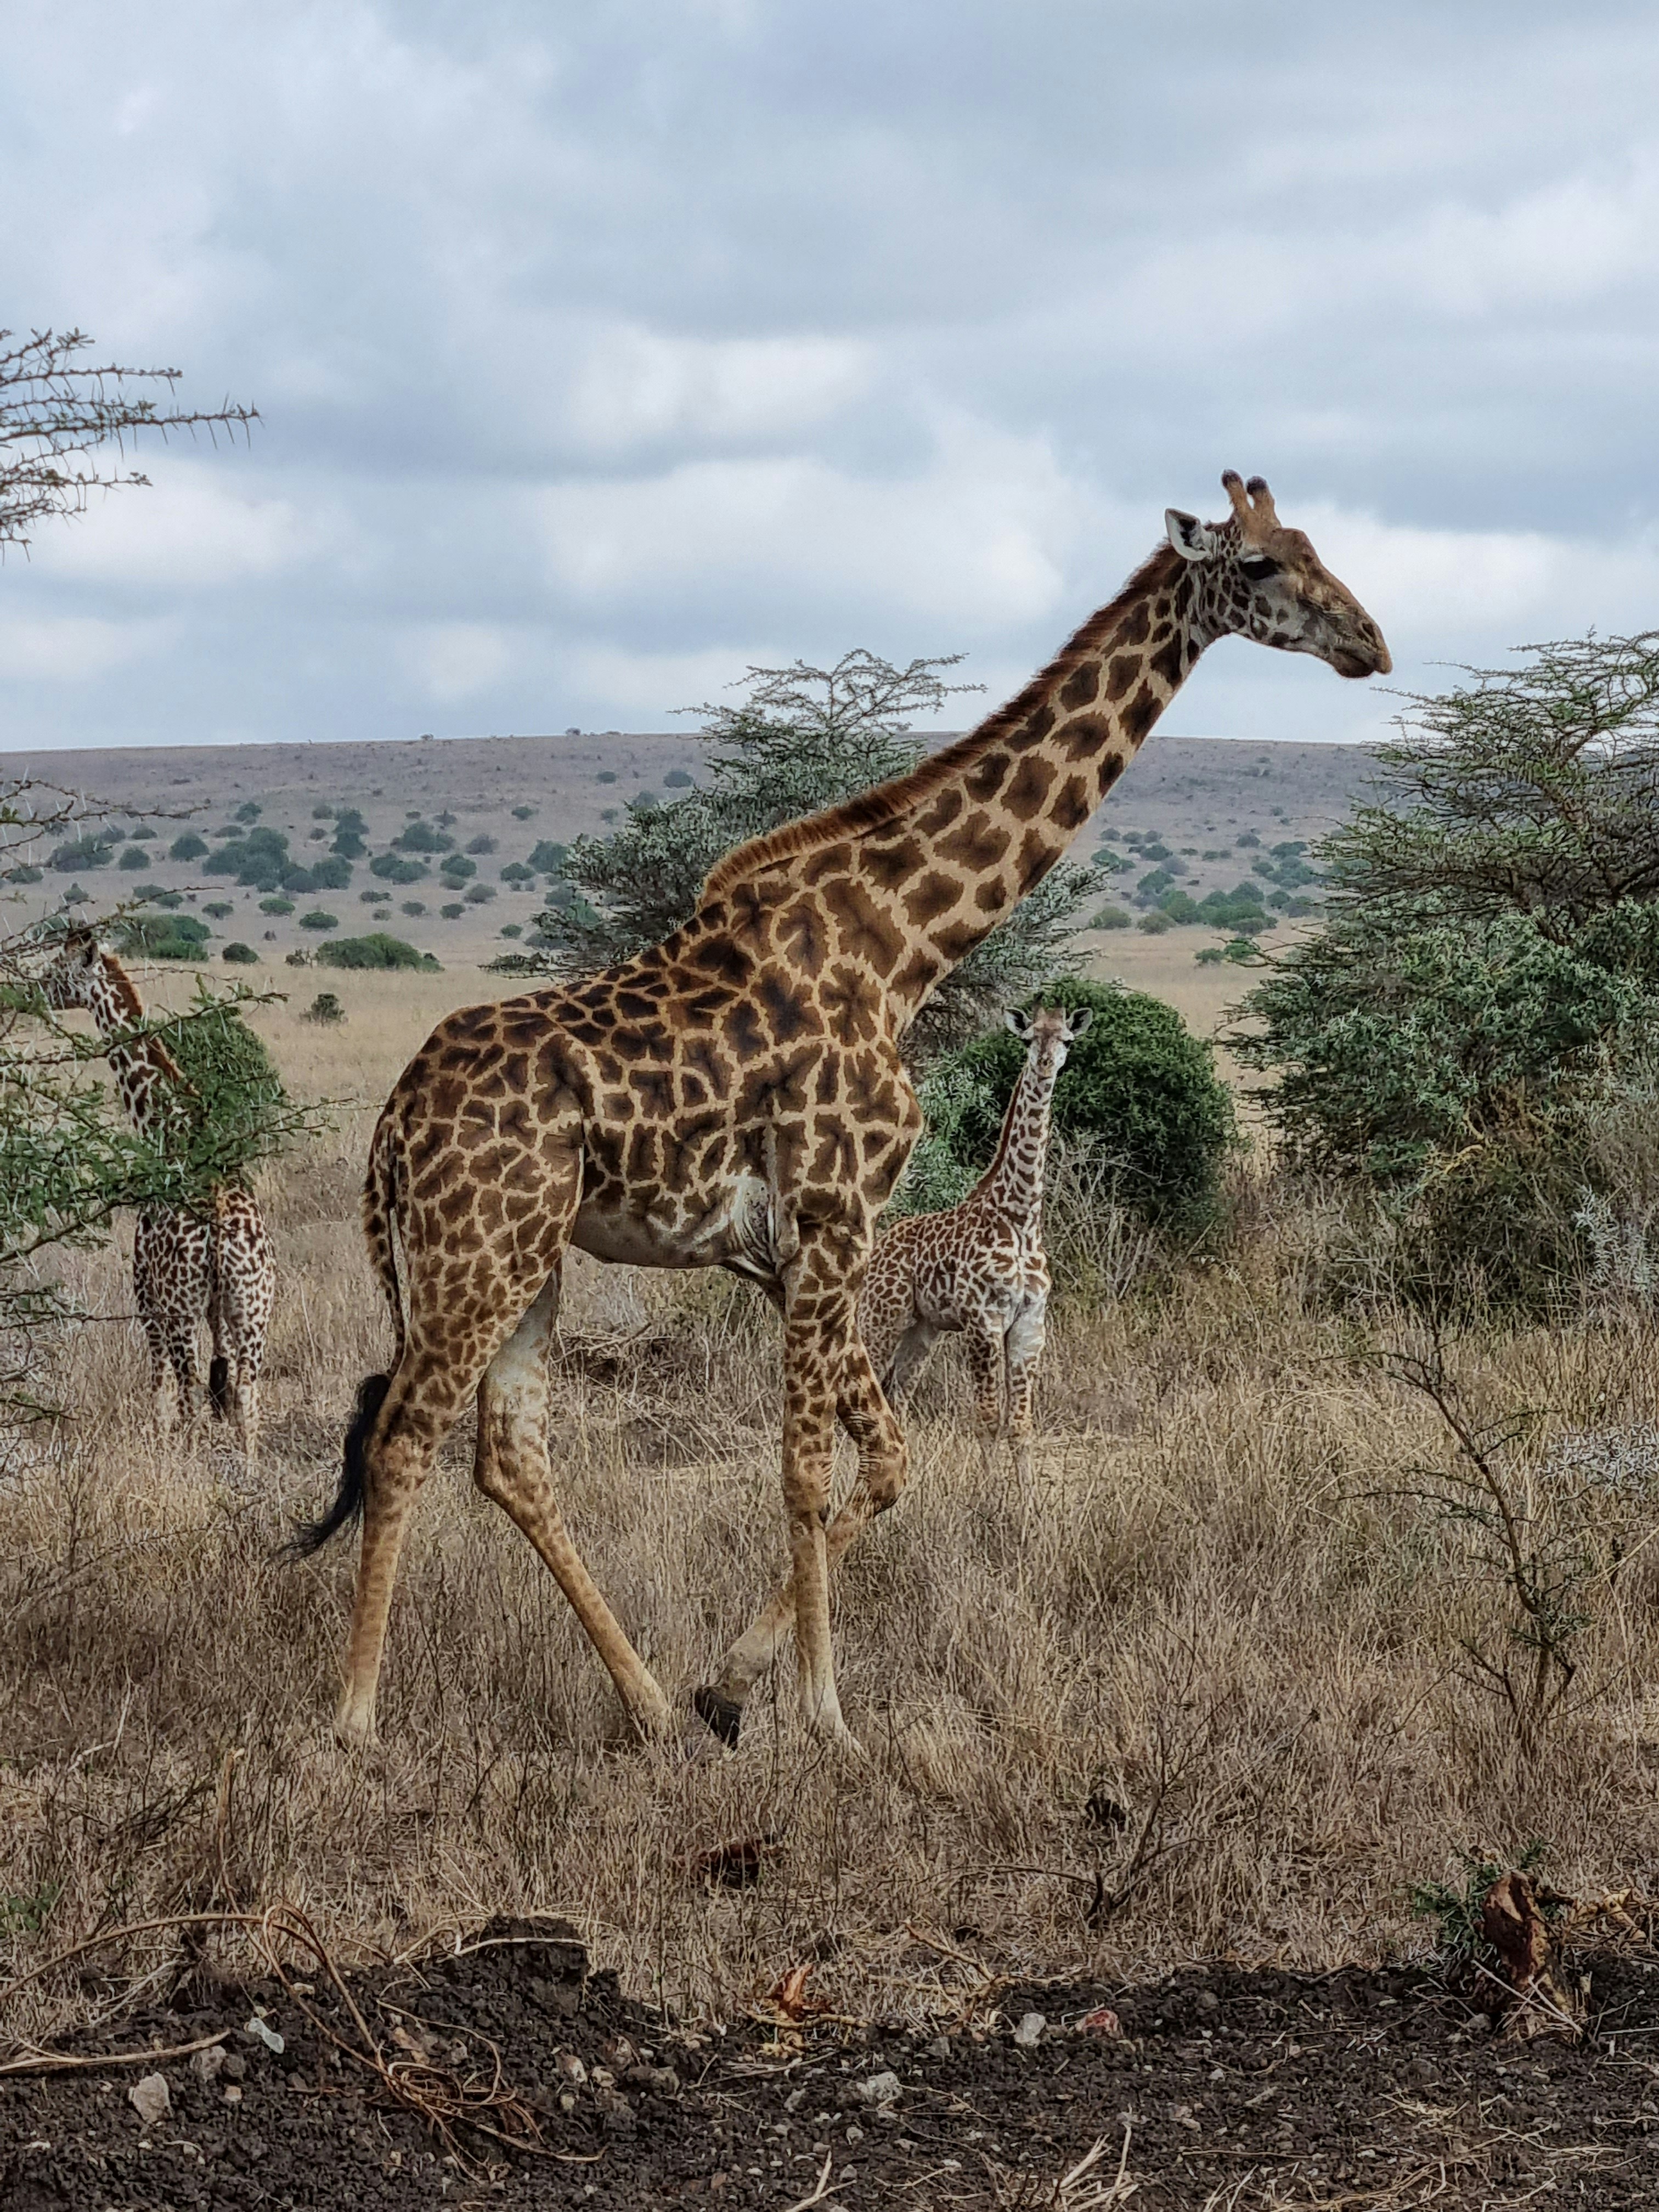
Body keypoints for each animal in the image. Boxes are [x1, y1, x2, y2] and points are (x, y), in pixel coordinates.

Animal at [40, 930, 275, 1456]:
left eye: (56, 972)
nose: (34, 990)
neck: (168, 1131)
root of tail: (222, 1236)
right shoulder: (218, 1315)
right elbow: (223, 1396)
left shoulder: (148, 1296)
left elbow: (161, 1393)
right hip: (253, 1313)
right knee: (248, 1403)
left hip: (182, 1310)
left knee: (188, 1396)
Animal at [857, 1002, 1086, 1492]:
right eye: (1028, 1038)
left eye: (1067, 1039)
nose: (1045, 1064)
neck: (1020, 1219)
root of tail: (877, 1250)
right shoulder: (983, 1321)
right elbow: (986, 1419)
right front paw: (986, 1496)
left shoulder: (1029, 1325)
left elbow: (1020, 1425)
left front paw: (1027, 1501)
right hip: (880, 1319)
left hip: (922, 1330)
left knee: (895, 1397)